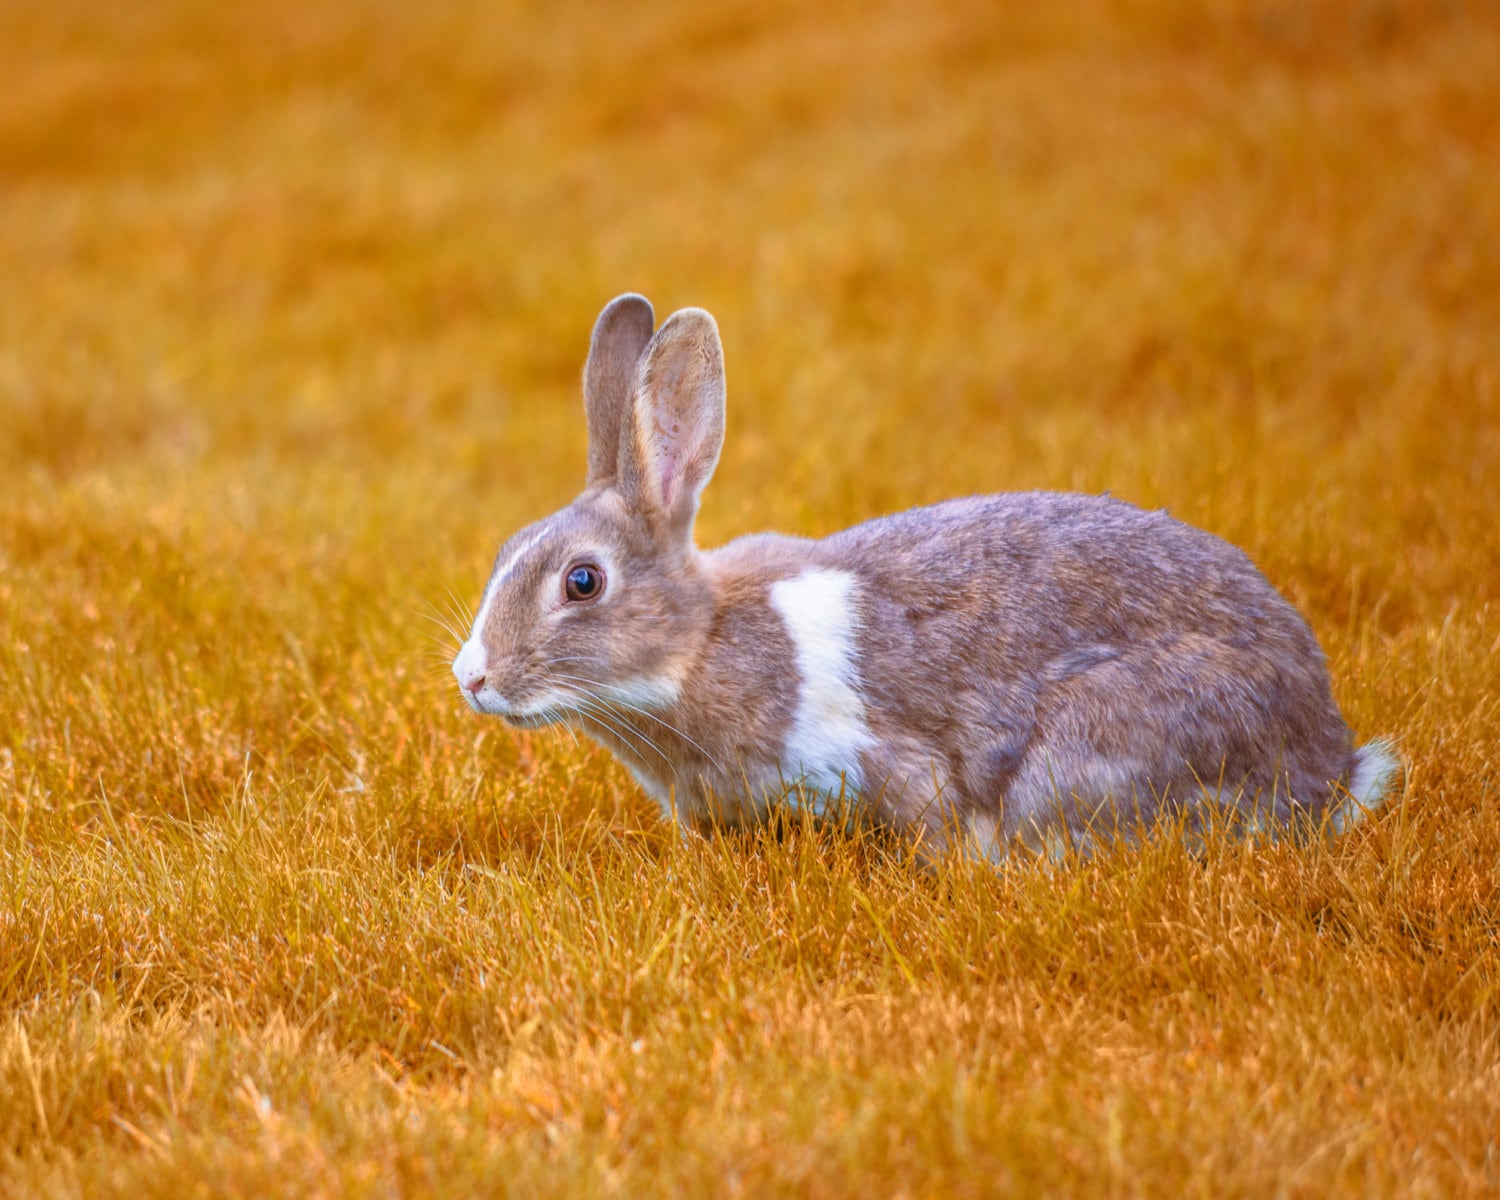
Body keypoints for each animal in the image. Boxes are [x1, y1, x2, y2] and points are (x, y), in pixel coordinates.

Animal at [451, 293, 1399, 859]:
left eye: (582, 582)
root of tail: (1331, 762)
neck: (704, 641)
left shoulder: (886, 765)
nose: (472, 678)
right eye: (506, 550)